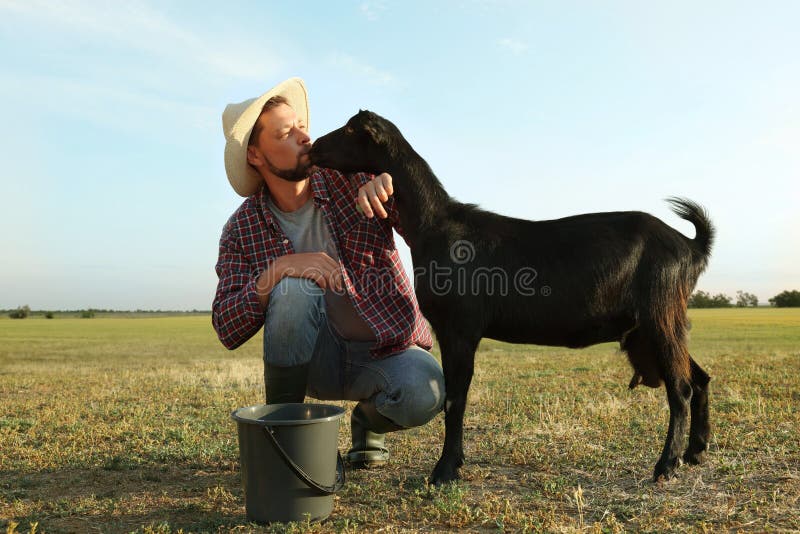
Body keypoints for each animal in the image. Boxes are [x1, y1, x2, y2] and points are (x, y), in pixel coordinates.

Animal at [310, 110, 715, 486]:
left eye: (350, 129)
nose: (313, 147)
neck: (433, 226)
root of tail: (690, 246)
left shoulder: (459, 327)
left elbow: (455, 399)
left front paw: (445, 470)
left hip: (660, 313)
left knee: (680, 388)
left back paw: (666, 465)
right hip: (655, 326)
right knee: (699, 377)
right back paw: (695, 451)